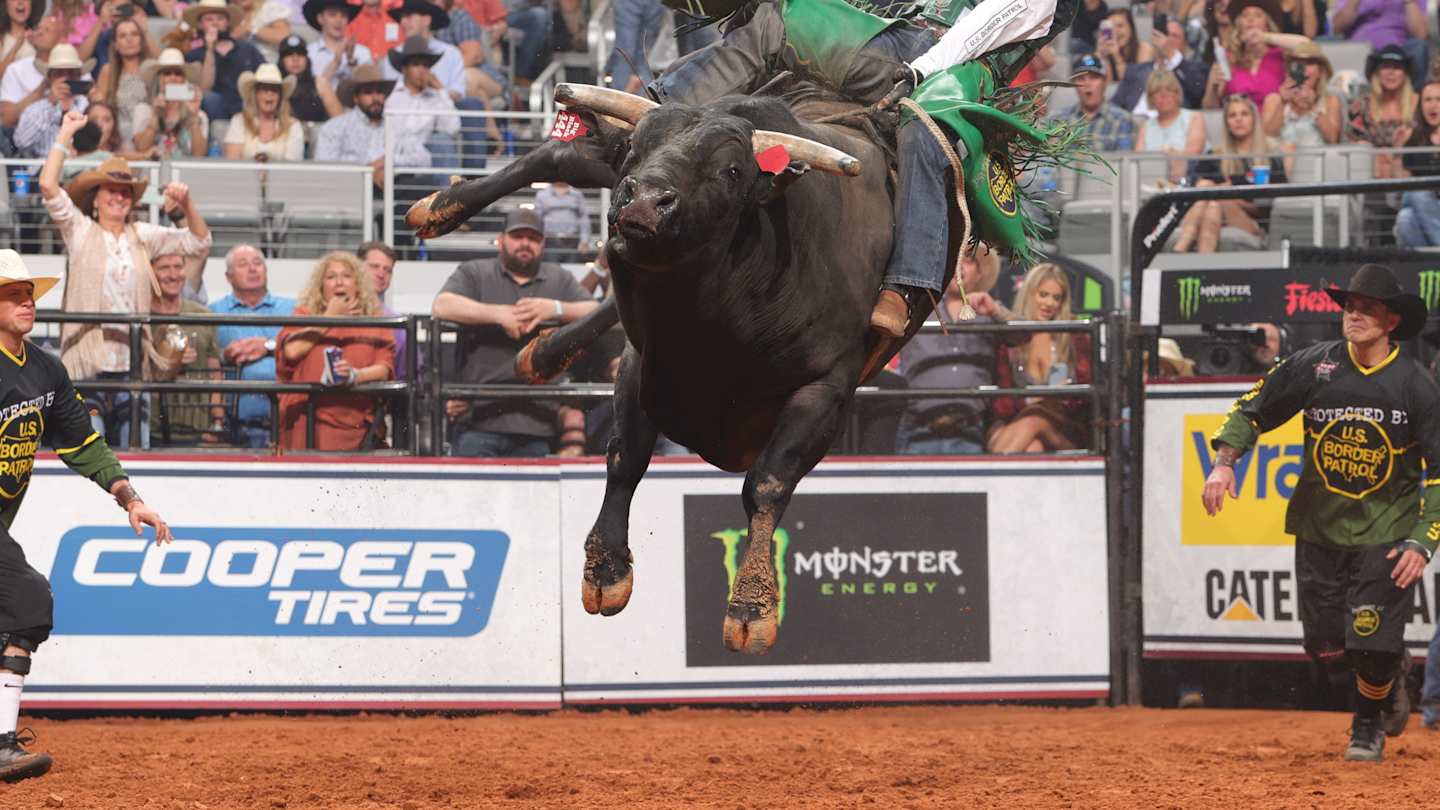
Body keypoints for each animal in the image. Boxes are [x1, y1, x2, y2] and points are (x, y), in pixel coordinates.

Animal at [409, 84, 951, 654]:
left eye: (732, 169)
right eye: (636, 149)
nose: (645, 200)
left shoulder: (825, 390)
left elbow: (767, 482)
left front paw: (752, 606)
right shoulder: (643, 361)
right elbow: (625, 457)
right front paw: (605, 571)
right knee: (568, 155)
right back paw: (442, 214)